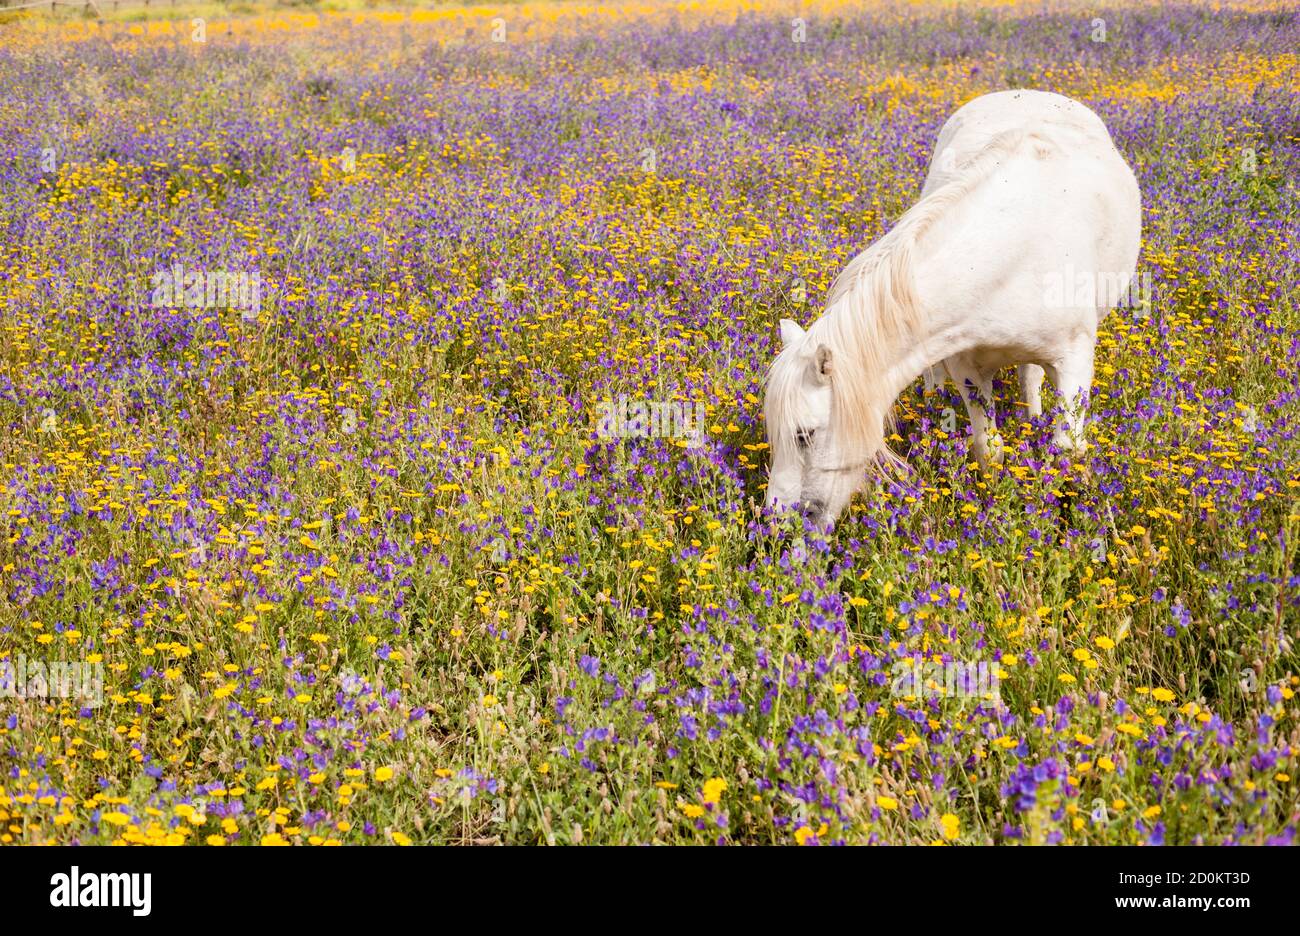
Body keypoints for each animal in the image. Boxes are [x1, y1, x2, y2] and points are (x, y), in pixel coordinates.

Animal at [764, 89, 1141, 529]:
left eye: (804, 435)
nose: (773, 523)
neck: (1008, 254)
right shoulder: (966, 366)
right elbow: (989, 449)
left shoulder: (1073, 363)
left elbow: (1068, 452)